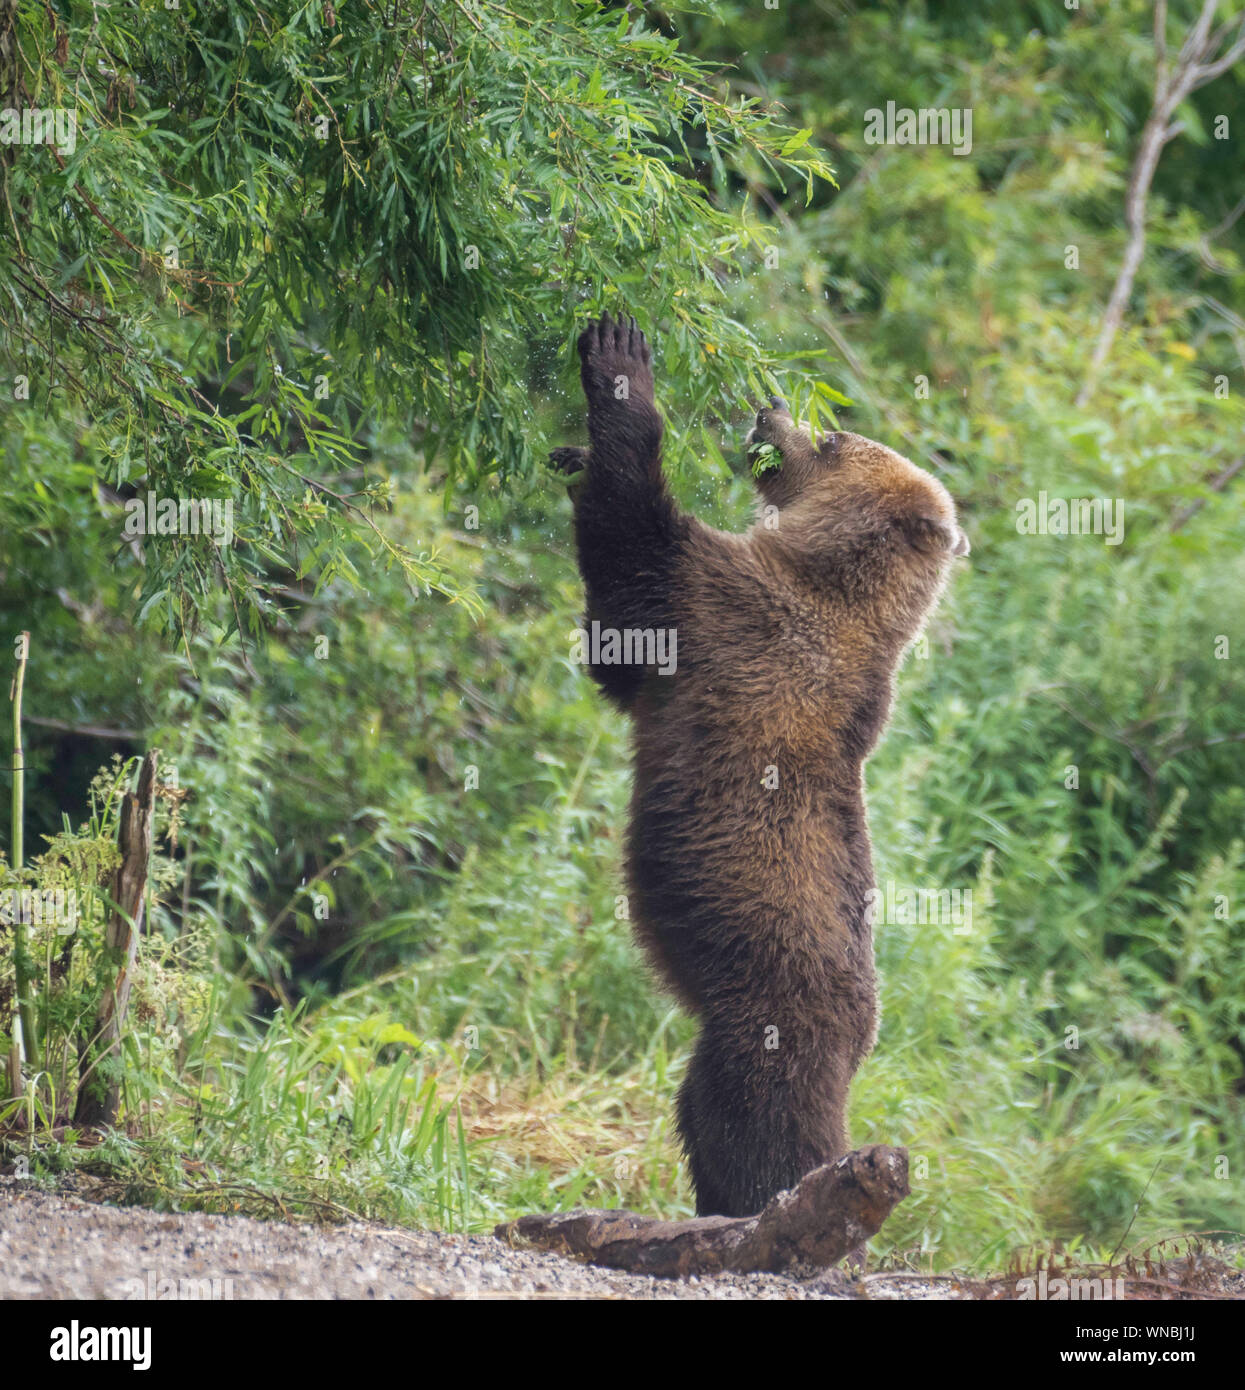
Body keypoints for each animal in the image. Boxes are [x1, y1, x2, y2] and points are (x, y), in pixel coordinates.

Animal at [551, 312, 968, 1218]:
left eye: (834, 433)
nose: (768, 407)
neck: (827, 573)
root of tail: (863, 1036)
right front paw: (570, 456)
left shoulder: (724, 609)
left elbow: (633, 553)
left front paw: (620, 364)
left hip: (770, 1005)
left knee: (747, 1115)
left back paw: (778, 1205)